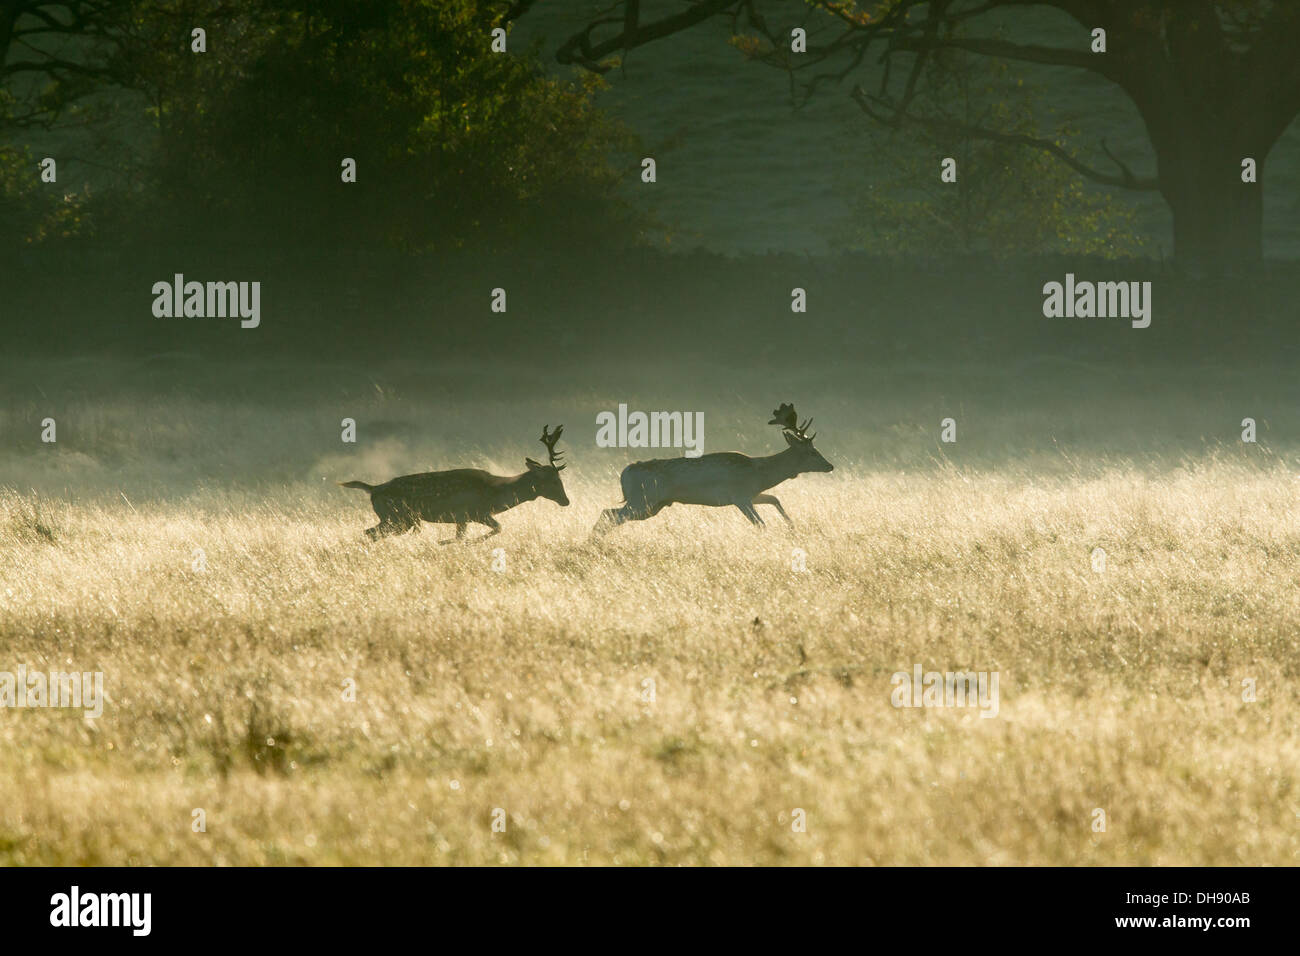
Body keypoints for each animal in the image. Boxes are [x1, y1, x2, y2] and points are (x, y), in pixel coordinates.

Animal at [341, 426, 569, 542]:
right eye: (553, 480)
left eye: (560, 479)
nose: (566, 501)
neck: (495, 493)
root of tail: (373, 489)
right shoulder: (470, 512)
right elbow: (497, 528)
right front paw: (447, 542)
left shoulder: (465, 518)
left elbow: (487, 531)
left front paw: (449, 542)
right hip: (397, 517)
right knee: (369, 533)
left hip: (399, 519)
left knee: (369, 532)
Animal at [593, 403, 832, 534]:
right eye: (812, 452)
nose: (830, 465)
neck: (760, 473)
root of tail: (625, 473)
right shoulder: (739, 496)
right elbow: (761, 524)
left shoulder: (752, 494)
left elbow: (775, 499)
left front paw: (792, 527)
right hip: (643, 500)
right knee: (609, 516)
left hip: (651, 505)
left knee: (608, 514)